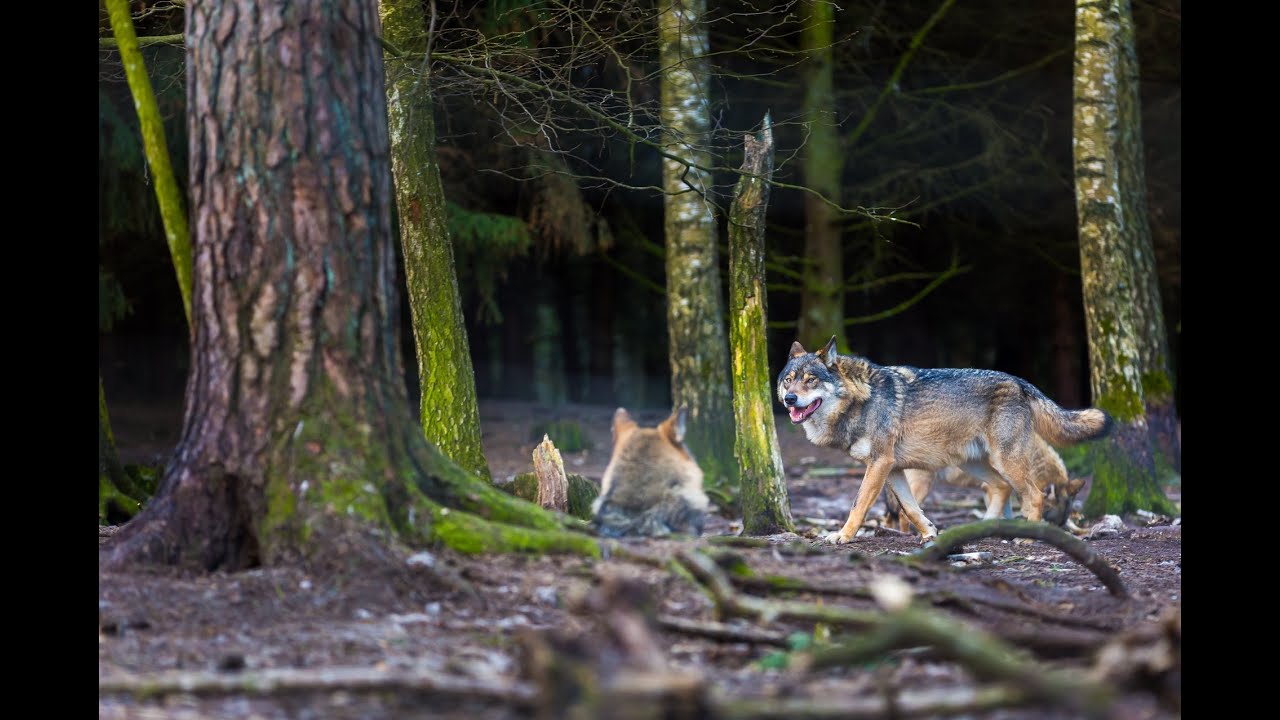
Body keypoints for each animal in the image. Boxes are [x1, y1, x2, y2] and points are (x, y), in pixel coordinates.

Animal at [777, 336, 1111, 544]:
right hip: (976, 464)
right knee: (1001, 488)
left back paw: (1025, 536)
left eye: (811, 380)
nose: (790, 399)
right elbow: (911, 509)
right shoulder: (893, 468)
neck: (861, 400)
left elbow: (858, 505)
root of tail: (1020, 381)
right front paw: (929, 533)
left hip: (1004, 461)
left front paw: (842, 536)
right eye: (788, 380)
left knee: (1034, 495)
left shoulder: (880, 463)